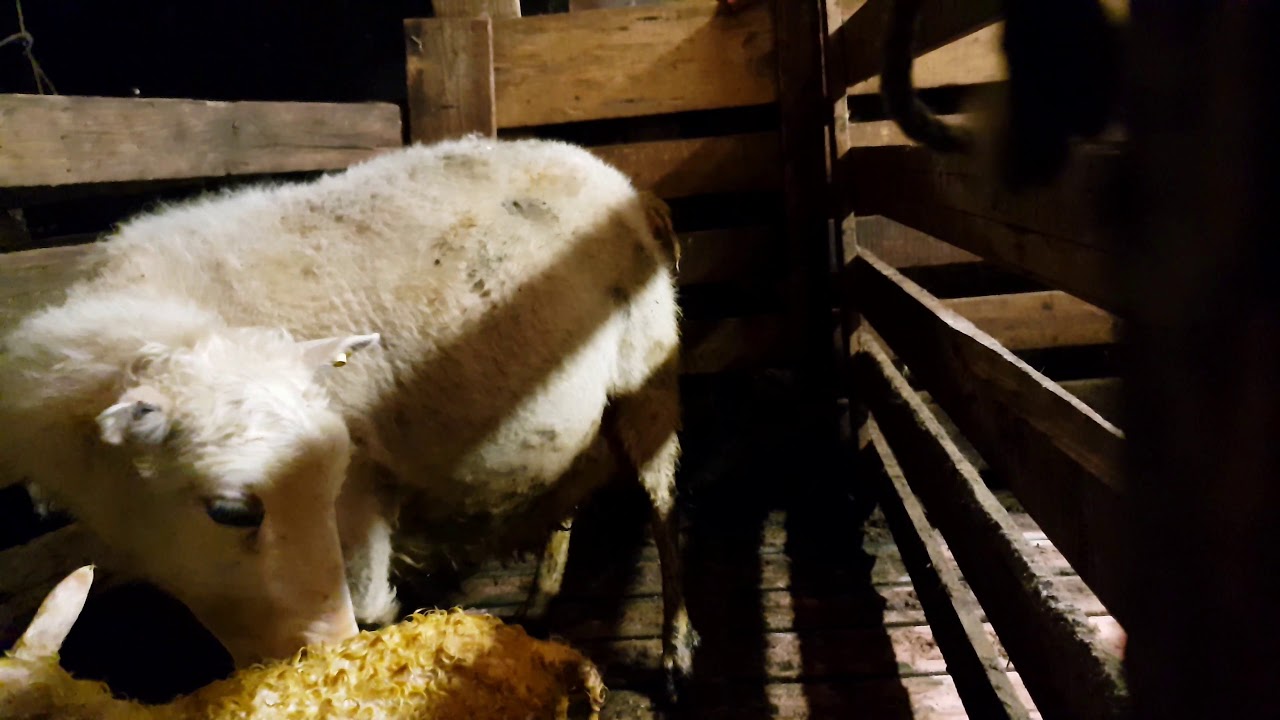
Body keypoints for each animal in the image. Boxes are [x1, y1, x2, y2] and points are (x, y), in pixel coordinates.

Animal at [0, 135, 698, 700]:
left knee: (663, 508)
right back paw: (540, 602)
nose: (319, 645)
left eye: (332, 478)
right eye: (229, 511)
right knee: (567, 498)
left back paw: (677, 652)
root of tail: (625, 184)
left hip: (647, 372)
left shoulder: (360, 501)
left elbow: (368, 605)